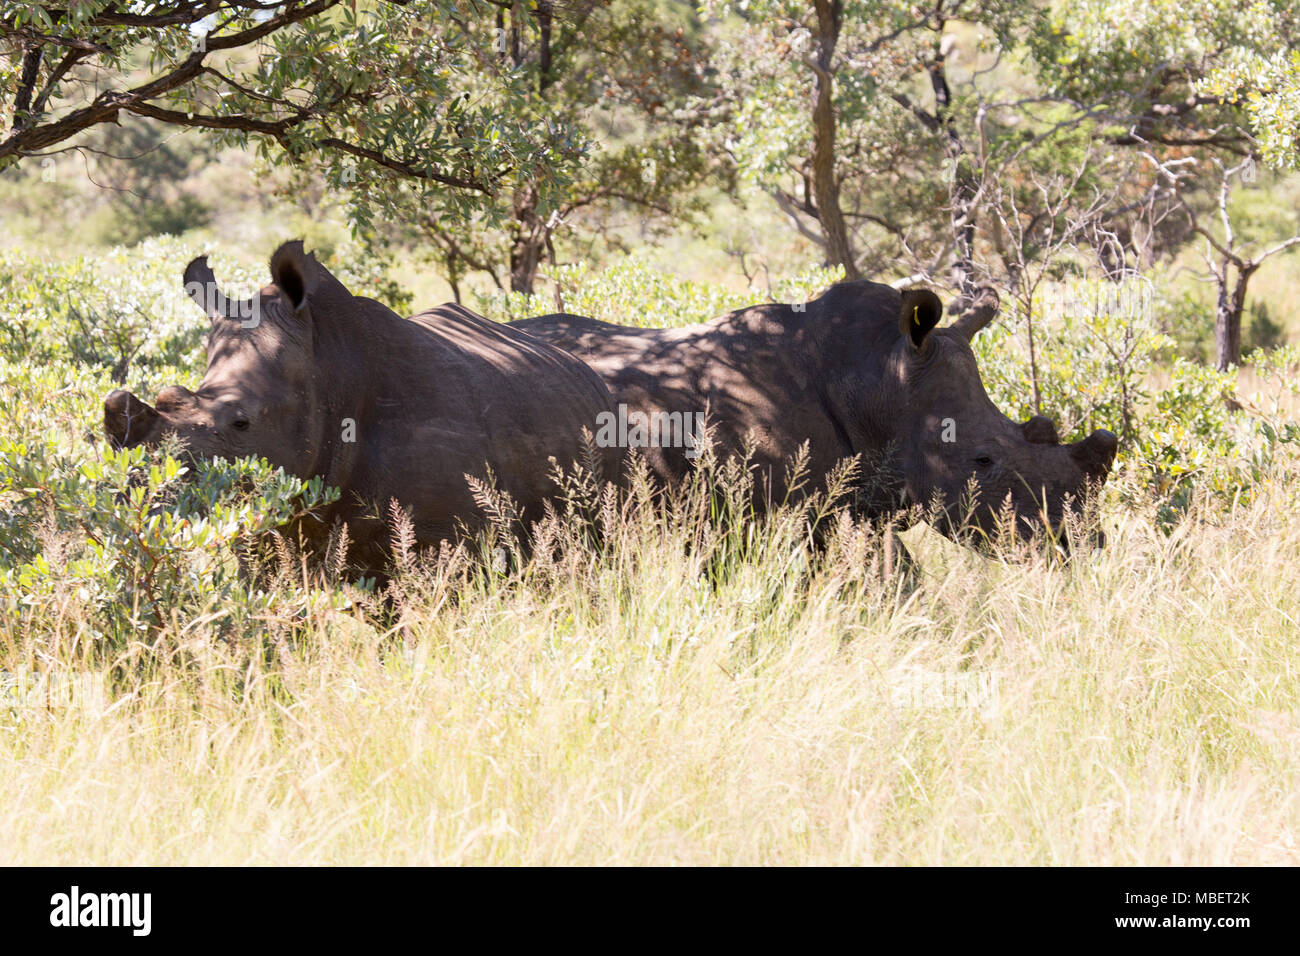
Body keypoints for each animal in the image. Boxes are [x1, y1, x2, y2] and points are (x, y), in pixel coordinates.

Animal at [103, 241, 619, 576]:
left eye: (241, 423)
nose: (141, 493)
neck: (328, 369)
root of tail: (588, 371)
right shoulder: (263, 524)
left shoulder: (451, 538)